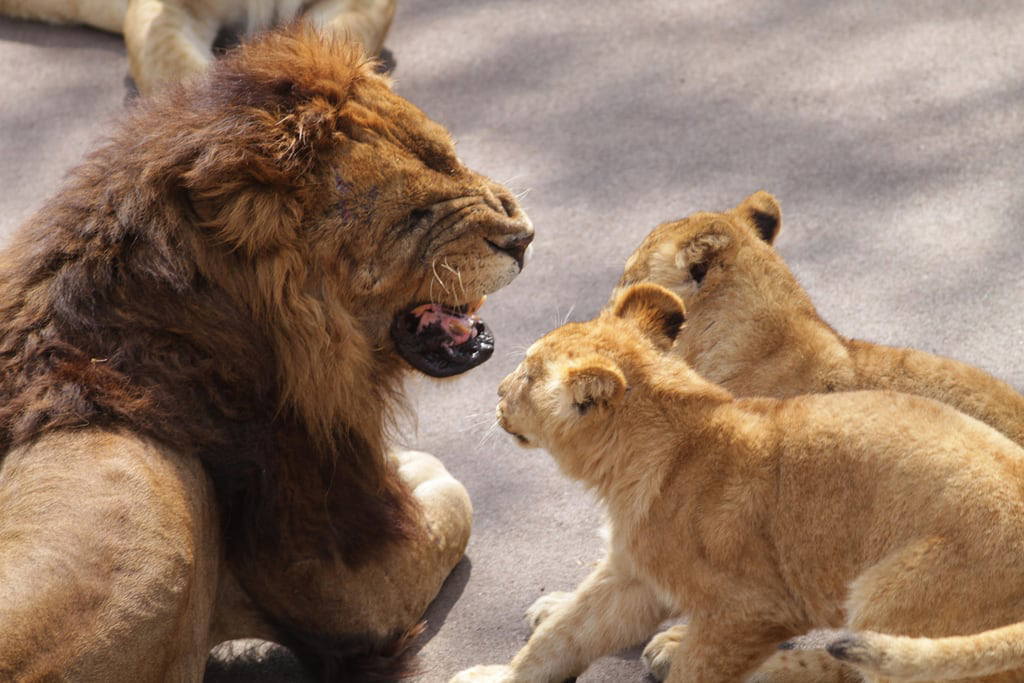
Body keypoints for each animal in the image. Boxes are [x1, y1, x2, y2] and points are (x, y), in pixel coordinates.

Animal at [0, 25, 533, 680]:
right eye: (414, 216)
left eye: (451, 158)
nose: (524, 239)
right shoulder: (350, 595)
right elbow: (455, 499)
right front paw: (417, 470)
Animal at [451, 284, 1024, 683]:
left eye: (527, 375)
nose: (497, 393)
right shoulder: (634, 577)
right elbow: (560, 638)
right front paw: (501, 675)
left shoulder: (749, 610)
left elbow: (695, 672)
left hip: (892, 592)